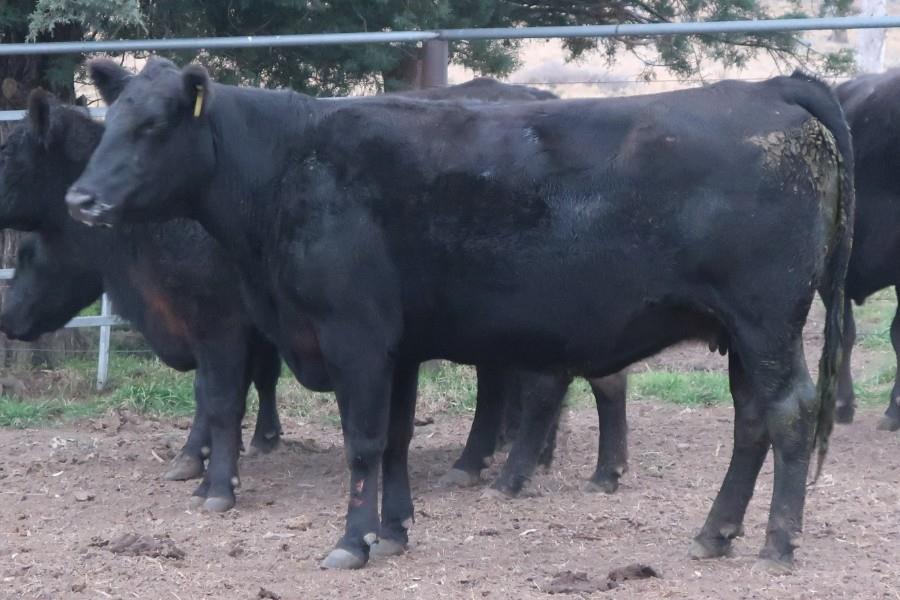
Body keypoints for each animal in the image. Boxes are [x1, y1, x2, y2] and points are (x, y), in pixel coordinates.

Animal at [67, 58, 853, 570]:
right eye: (108, 124)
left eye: (154, 125)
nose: (81, 198)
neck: (291, 165)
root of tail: (768, 89)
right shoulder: (401, 346)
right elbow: (396, 441)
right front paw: (393, 530)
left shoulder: (355, 337)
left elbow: (363, 442)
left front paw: (351, 542)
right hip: (744, 333)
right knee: (751, 420)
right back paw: (715, 532)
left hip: (768, 321)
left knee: (788, 414)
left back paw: (777, 544)